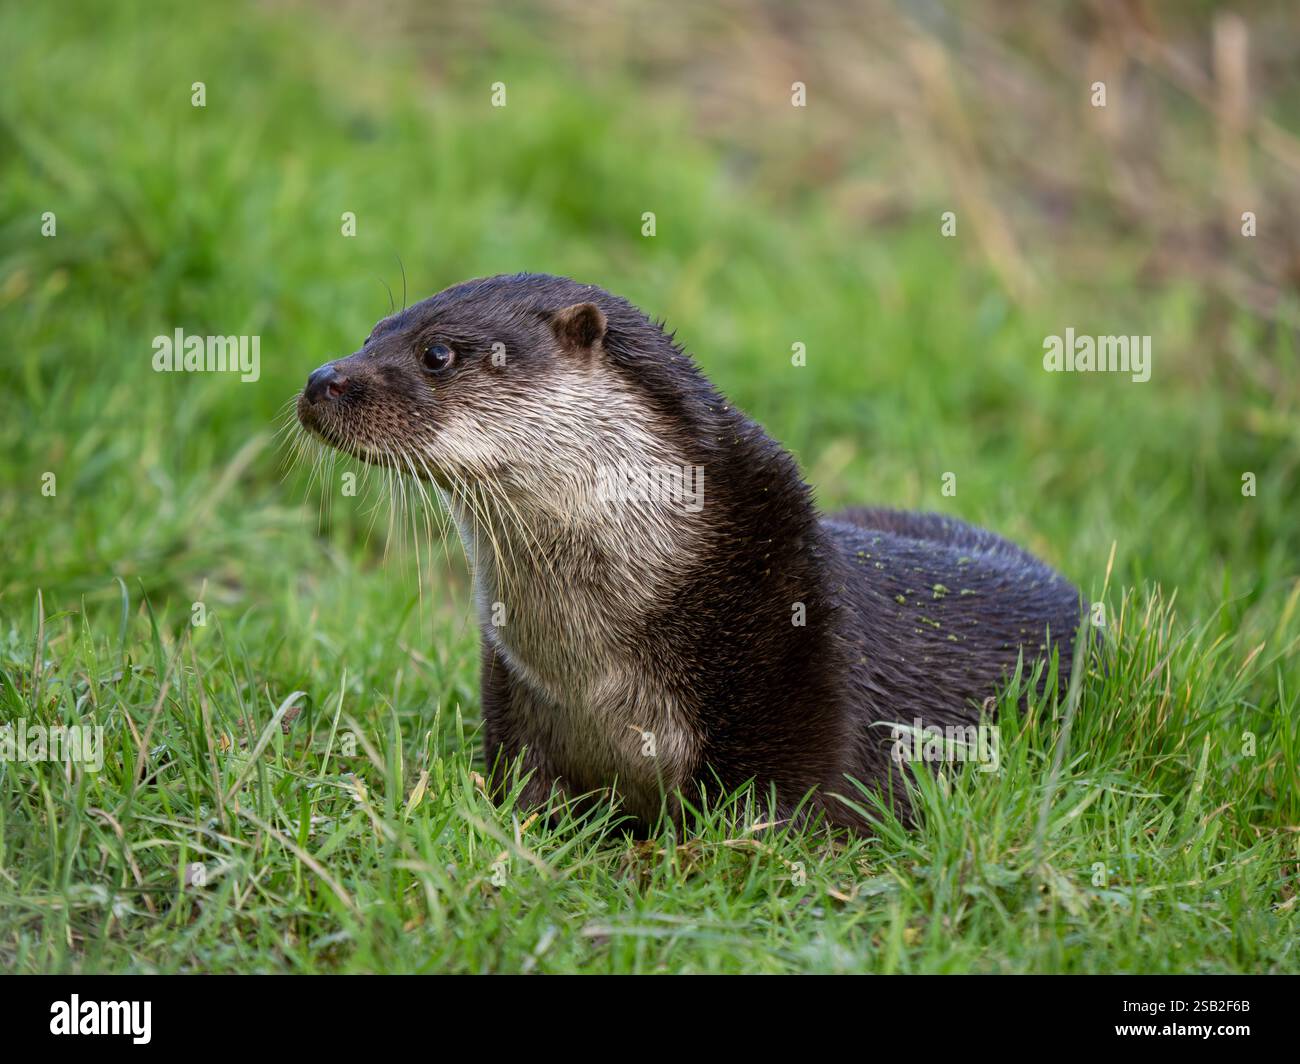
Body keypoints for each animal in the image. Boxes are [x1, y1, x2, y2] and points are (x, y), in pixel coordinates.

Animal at [296, 273, 1085, 833]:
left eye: (437, 353)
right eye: (373, 332)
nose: (320, 379)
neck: (593, 666)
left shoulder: (799, 660)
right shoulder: (512, 686)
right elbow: (520, 785)